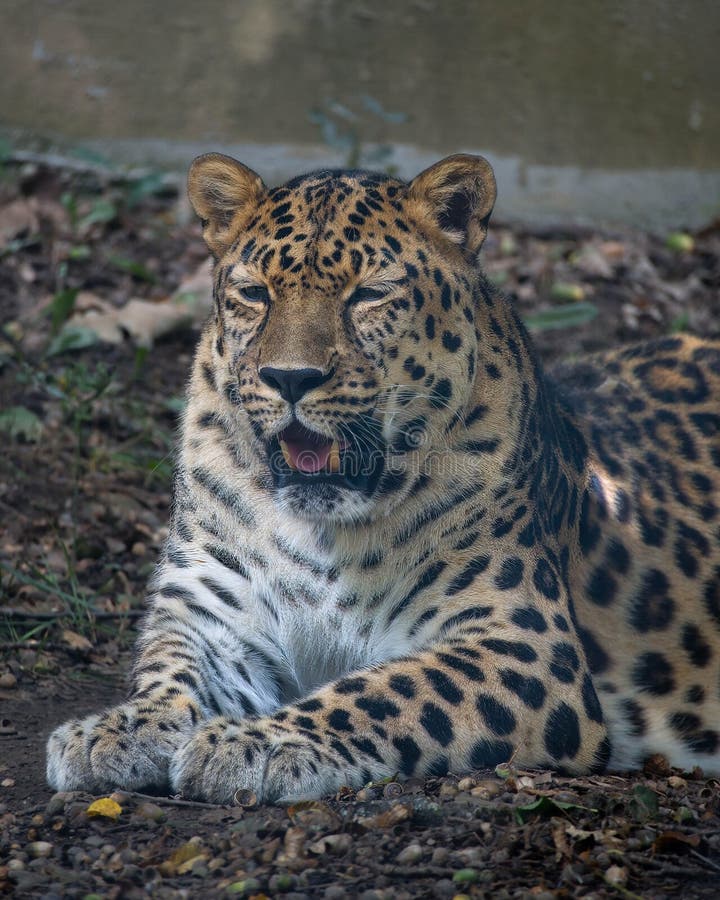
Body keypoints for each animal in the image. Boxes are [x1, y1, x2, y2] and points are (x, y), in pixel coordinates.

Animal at [46, 153, 720, 805]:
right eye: (255, 293)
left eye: (368, 295)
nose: (290, 378)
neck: (321, 531)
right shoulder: (212, 615)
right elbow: (171, 668)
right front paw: (117, 728)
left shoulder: (523, 643)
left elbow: (387, 690)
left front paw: (256, 743)